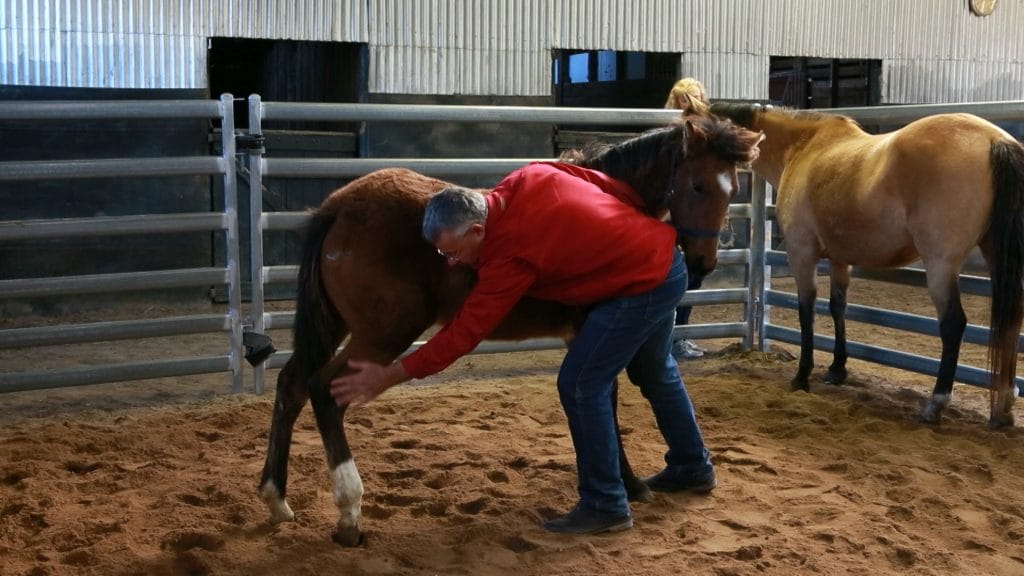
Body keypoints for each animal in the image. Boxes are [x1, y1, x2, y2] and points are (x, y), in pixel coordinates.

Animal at [711, 102, 1024, 429]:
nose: (724, 235)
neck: (802, 146)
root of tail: (995, 140)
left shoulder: (802, 253)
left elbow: (806, 311)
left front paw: (802, 377)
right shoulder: (839, 258)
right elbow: (838, 307)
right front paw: (837, 370)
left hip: (941, 265)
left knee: (953, 324)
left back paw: (935, 404)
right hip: (998, 256)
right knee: (1012, 322)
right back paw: (1003, 408)